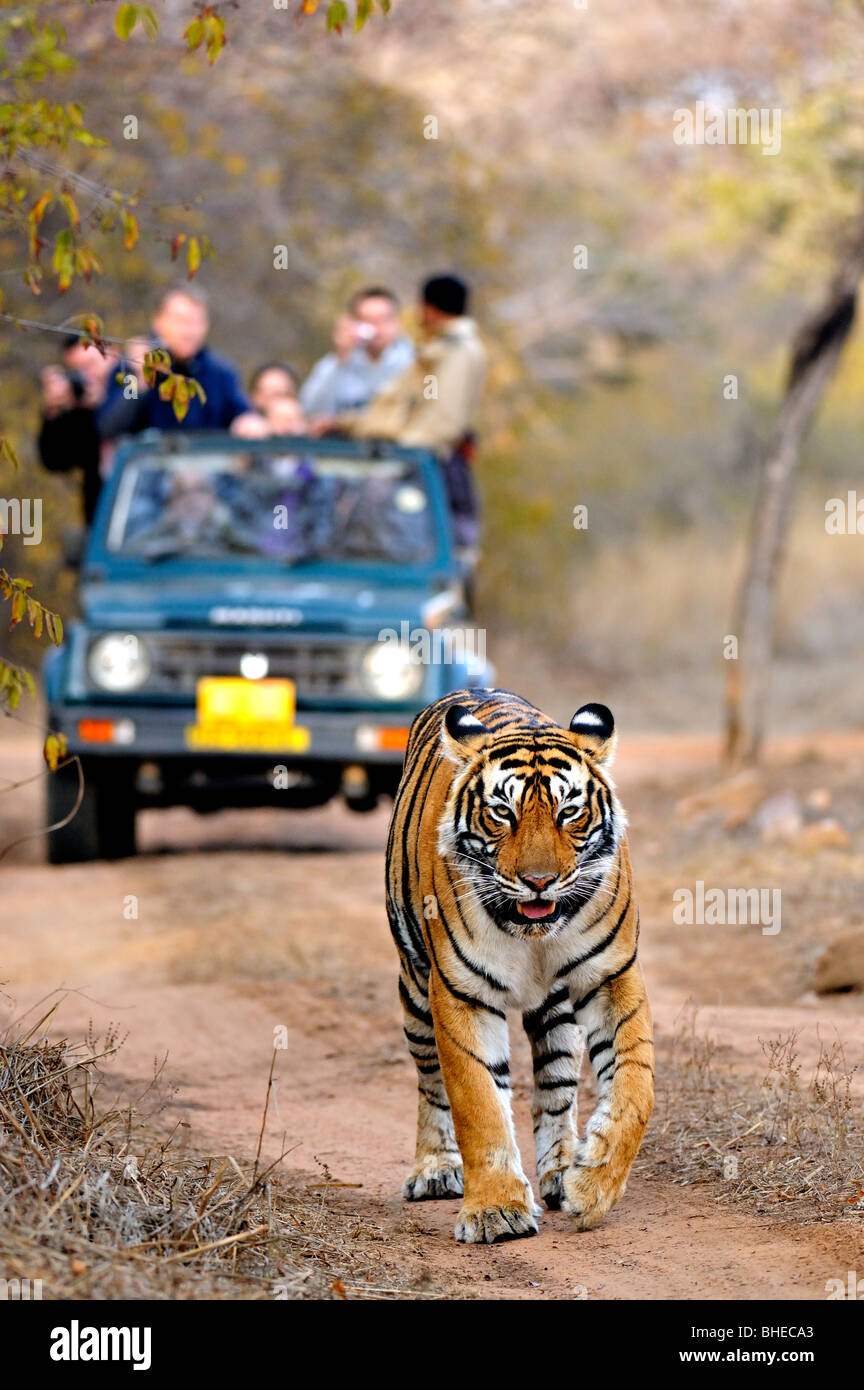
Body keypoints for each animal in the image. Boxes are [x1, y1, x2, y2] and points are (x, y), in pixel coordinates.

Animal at [385, 687, 653, 1244]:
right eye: (502, 813)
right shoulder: (460, 992)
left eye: (569, 811)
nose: (538, 881)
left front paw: (591, 1188)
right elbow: (478, 1103)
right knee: (429, 1081)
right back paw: (435, 1169)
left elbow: (636, 1087)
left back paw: (560, 1171)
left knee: (555, 1087)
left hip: (557, 1008)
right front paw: (495, 1211)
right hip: (415, 990)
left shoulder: (611, 976)